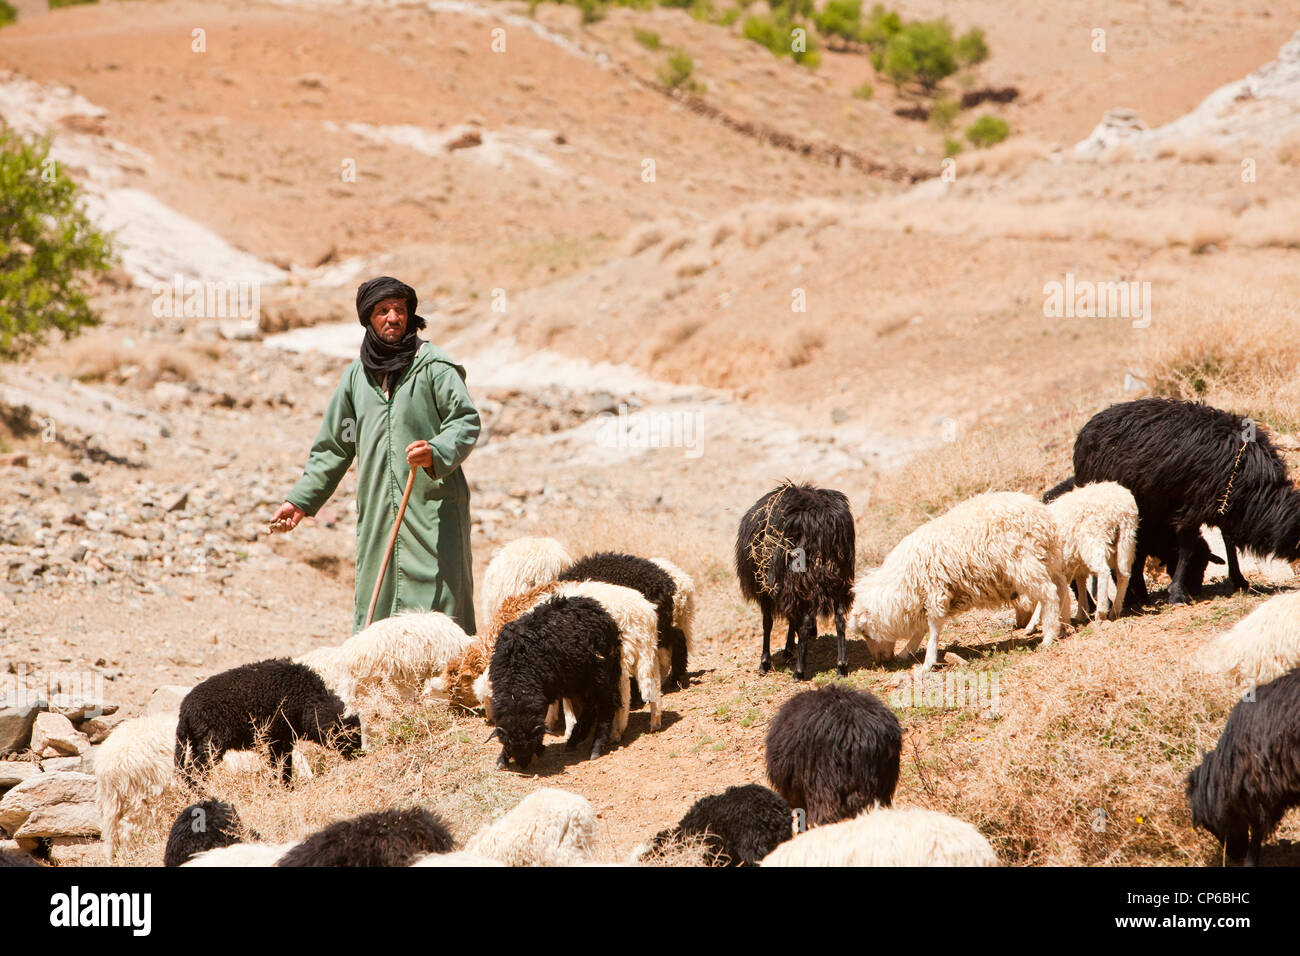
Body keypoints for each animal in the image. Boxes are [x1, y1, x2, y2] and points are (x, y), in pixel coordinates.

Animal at [175, 658, 363, 787]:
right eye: (349, 734)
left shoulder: (282, 740)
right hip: (211, 745)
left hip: (196, 744)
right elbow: (282, 766)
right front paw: (285, 787)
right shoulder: (279, 739)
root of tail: (185, 710)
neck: (308, 699)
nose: (361, 755)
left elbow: (282, 766)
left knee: (188, 772)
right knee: (194, 772)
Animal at [488, 595, 623, 769]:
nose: (523, 765)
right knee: (590, 707)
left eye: (530, 745)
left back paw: (596, 747)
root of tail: (601, 611)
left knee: (606, 707)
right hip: (579, 680)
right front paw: (502, 758)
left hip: (601, 673)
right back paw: (574, 741)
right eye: (510, 745)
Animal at [737, 482, 856, 681]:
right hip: (839, 577)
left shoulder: (766, 591)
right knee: (840, 619)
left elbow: (767, 623)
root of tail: (823, 520)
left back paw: (799, 671)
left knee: (805, 623)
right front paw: (788, 648)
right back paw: (841, 667)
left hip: (799, 578)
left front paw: (765, 662)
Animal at [848, 491, 1071, 672]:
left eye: (865, 632)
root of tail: (1042, 515)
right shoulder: (927, 598)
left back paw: (1049, 636)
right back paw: (1062, 626)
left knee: (1049, 593)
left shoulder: (935, 592)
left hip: (1025, 562)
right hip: (1047, 559)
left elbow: (933, 628)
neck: (903, 583)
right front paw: (907, 651)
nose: (880, 661)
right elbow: (922, 628)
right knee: (1061, 587)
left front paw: (927, 662)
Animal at [1074, 397, 1300, 607]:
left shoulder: (1222, 506)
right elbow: (1187, 549)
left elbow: (1228, 542)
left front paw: (1239, 580)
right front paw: (1177, 594)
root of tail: (1087, 428)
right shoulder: (1193, 507)